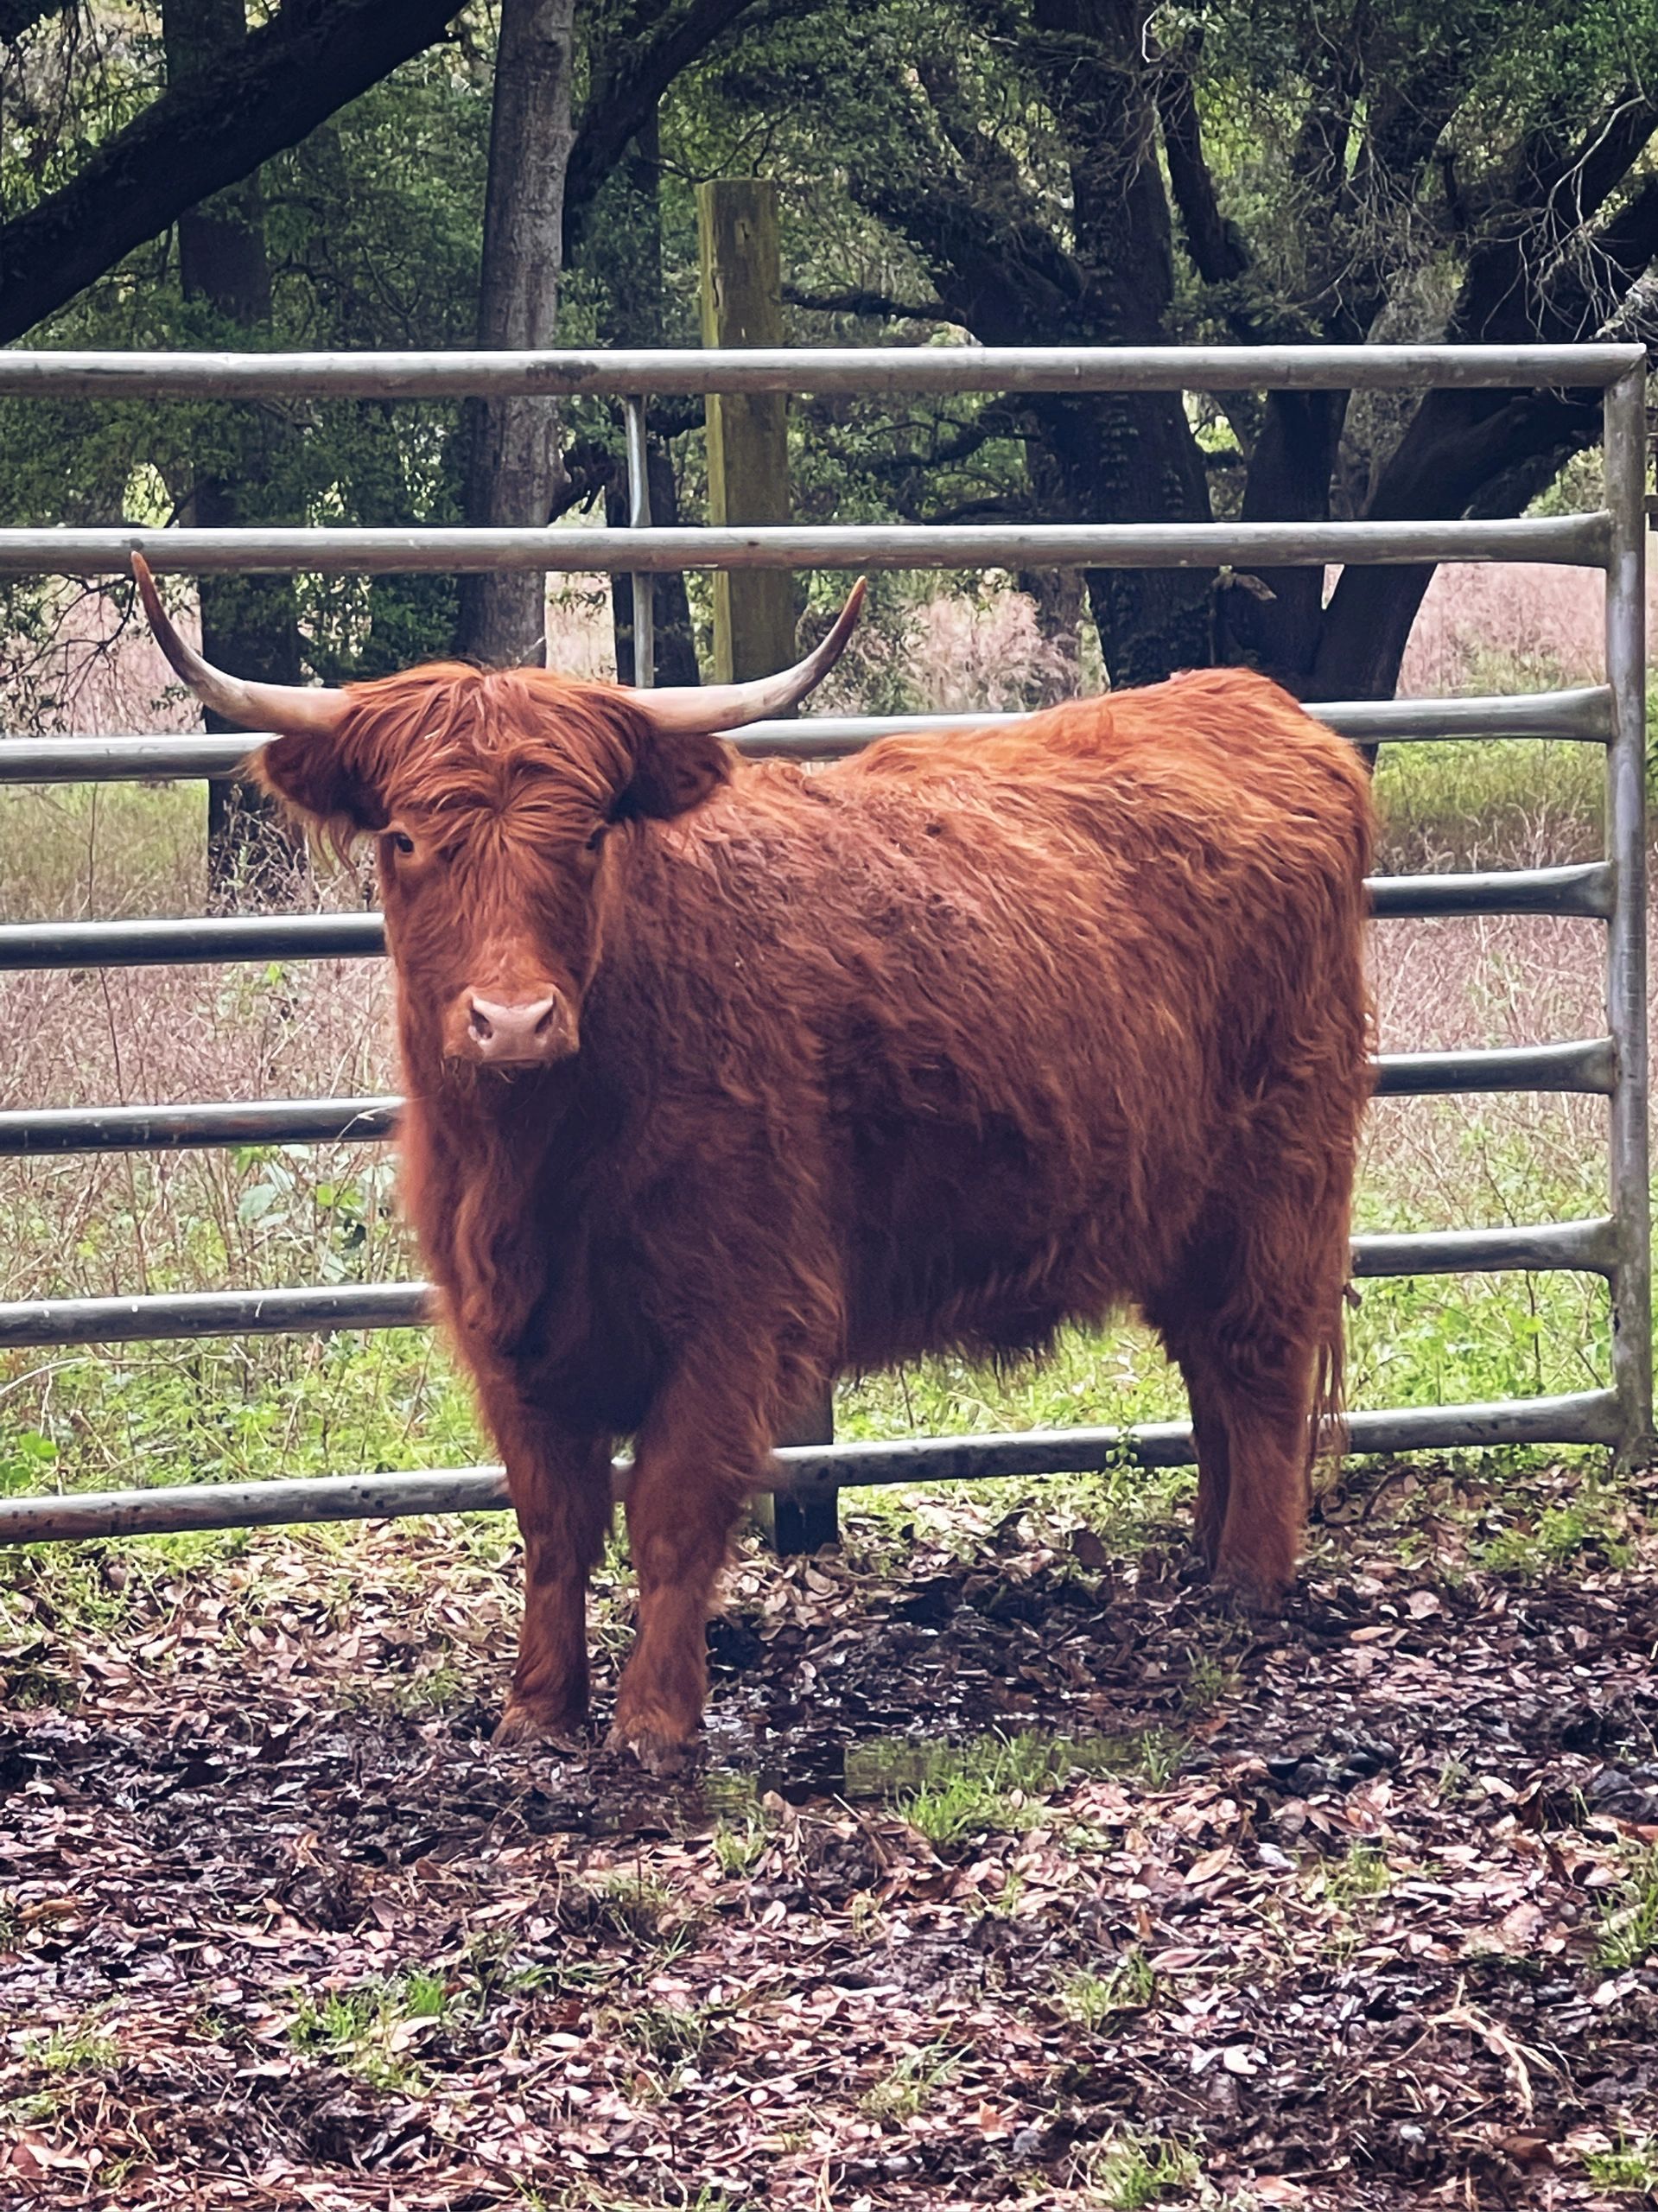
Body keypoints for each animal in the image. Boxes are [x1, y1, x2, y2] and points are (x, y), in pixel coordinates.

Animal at [132, 553, 1375, 1774]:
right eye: (401, 840)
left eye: (588, 837)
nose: (512, 1021)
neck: (540, 1157)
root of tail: (1248, 705)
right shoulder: (505, 1326)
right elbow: (551, 1521)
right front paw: (537, 1708)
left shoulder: (731, 1306)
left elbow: (671, 1513)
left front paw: (653, 1721)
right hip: (1181, 1212)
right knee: (1210, 1368)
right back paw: (1204, 1551)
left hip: (1278, 1178)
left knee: (1257, 1361)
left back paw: (1245, 1582)